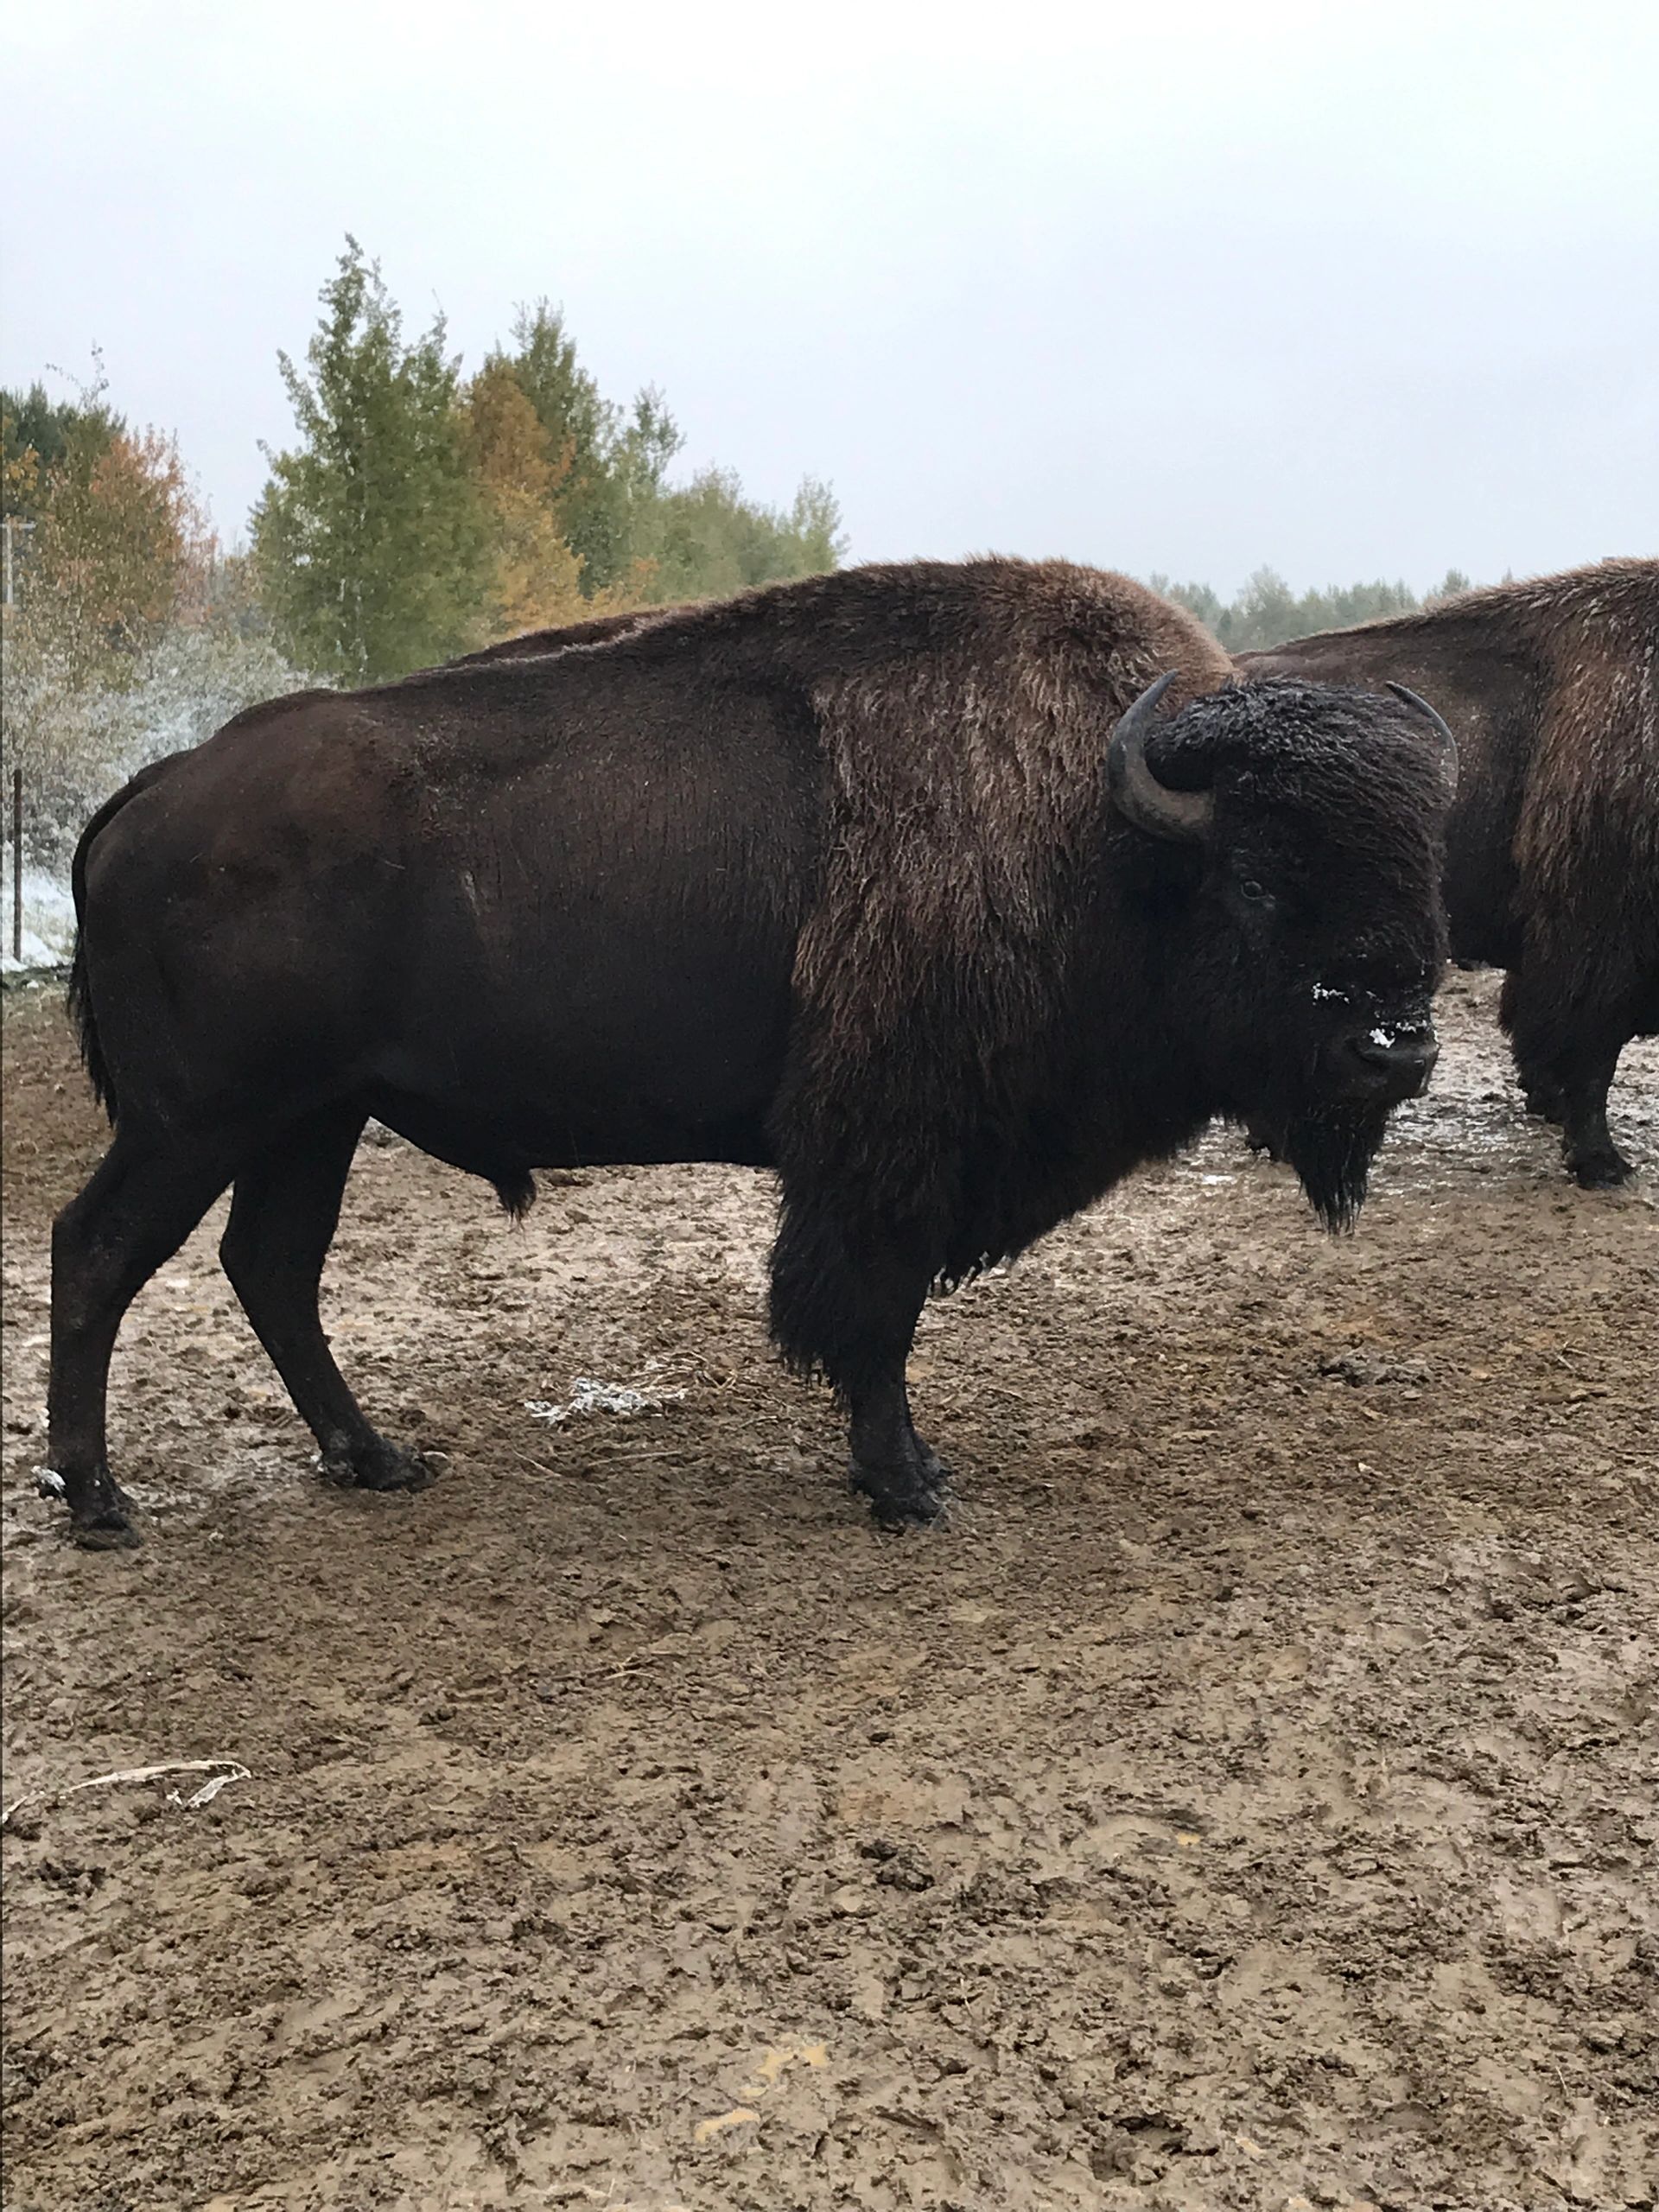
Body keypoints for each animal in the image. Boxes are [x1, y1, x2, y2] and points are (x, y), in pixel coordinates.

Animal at [50, 560, 1455, 1548]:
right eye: (1262, 883)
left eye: (1421, 872)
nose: (1394, 1049)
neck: (1107, 845)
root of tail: (153, 789)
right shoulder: (888, 1158)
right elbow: (873, 1315)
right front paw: (906, 1484)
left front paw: (908, 1470)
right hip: (199, 1121)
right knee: (102, 1249)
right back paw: (102, 1503)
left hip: (313, 1118)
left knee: (271, 1267)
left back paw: (377, 1461)